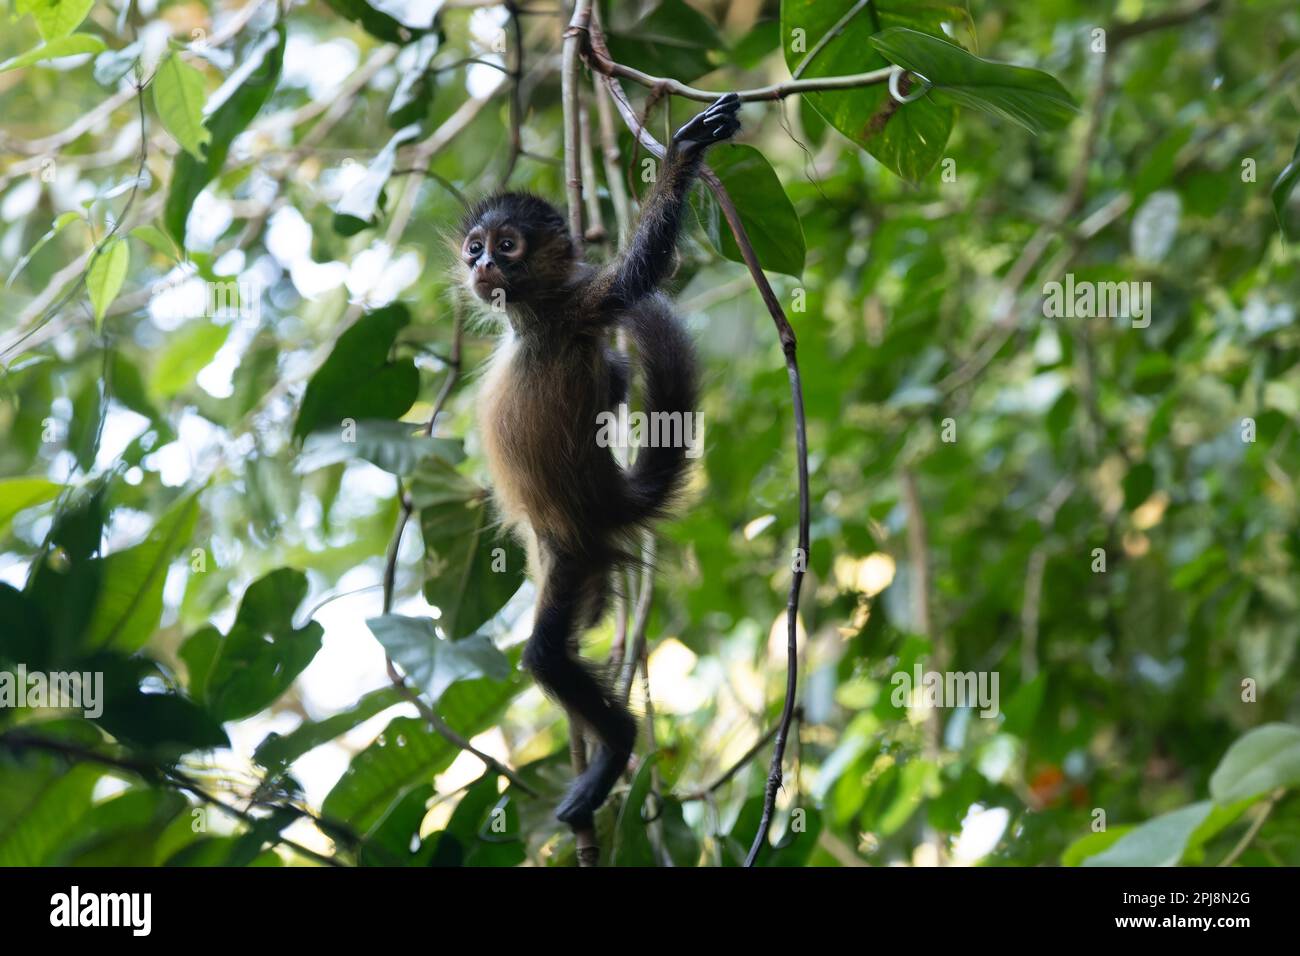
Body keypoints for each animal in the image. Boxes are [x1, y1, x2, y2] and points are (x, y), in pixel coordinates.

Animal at [455, 93, 741, 828]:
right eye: (475, 247)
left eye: (507, 245)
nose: (481, 267)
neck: (533, 321)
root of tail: (609, 499)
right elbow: (613, 374)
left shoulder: (581, 308)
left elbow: (635, 276)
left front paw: (684, 155)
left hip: (573, 552)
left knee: (547, 654)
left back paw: (616, 747)